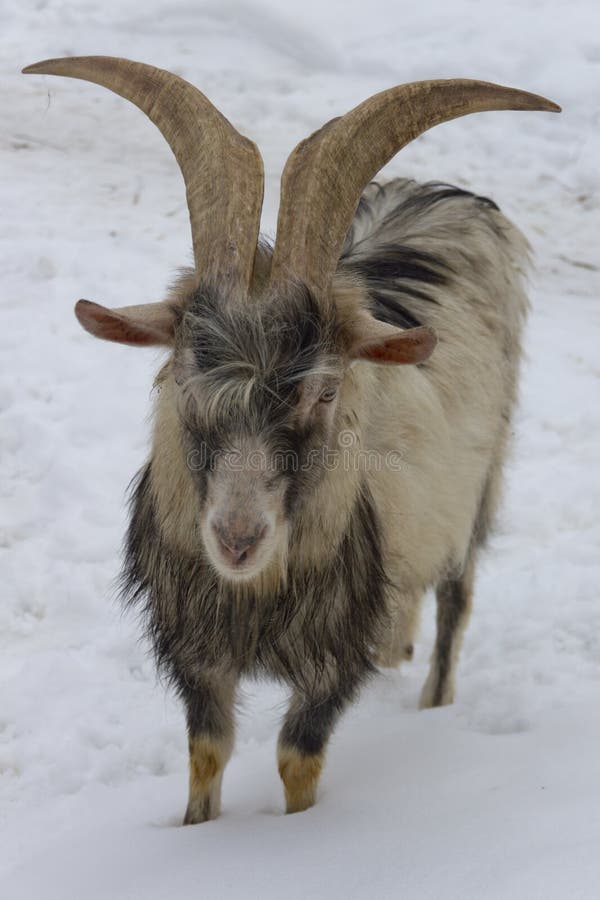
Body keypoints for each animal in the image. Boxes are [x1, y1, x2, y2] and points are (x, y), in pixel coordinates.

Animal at [24, 57, 560, 823]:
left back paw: (435, 703)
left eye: (325, 392)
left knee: (456, 604)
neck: (255, 600)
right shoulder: (197, 648)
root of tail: (430, 192)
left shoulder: (334, 650)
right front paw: (196, 829)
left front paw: (298, 834)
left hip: (479, 487)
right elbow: (207, 751)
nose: (237, 538)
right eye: (182, 377)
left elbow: (297, 759)